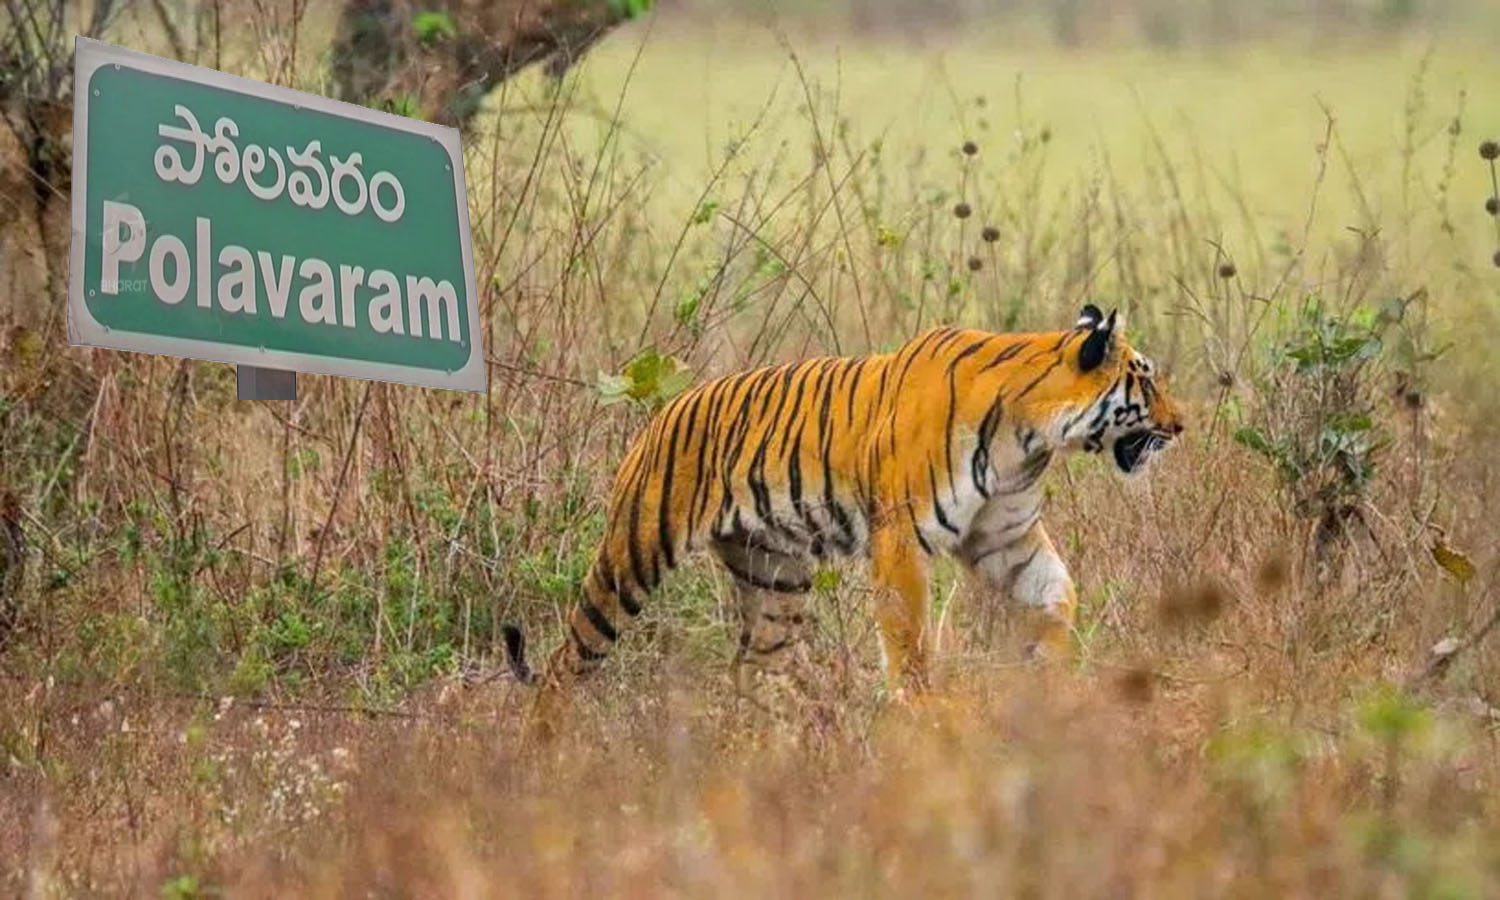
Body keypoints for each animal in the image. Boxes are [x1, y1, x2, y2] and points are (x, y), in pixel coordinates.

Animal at [502, 304, 1184, 720]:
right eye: (1146, 381)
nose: (1182, 425)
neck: (1032, 436)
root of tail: (664, 410)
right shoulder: (902, 536)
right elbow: (908, 635)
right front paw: (919, 708)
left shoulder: (1006, 536)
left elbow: (1056, 594)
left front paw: (1052, 669)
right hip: (633, 556)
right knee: (569, 658)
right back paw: (545, 749)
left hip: (775, 576)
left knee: (753, 669)